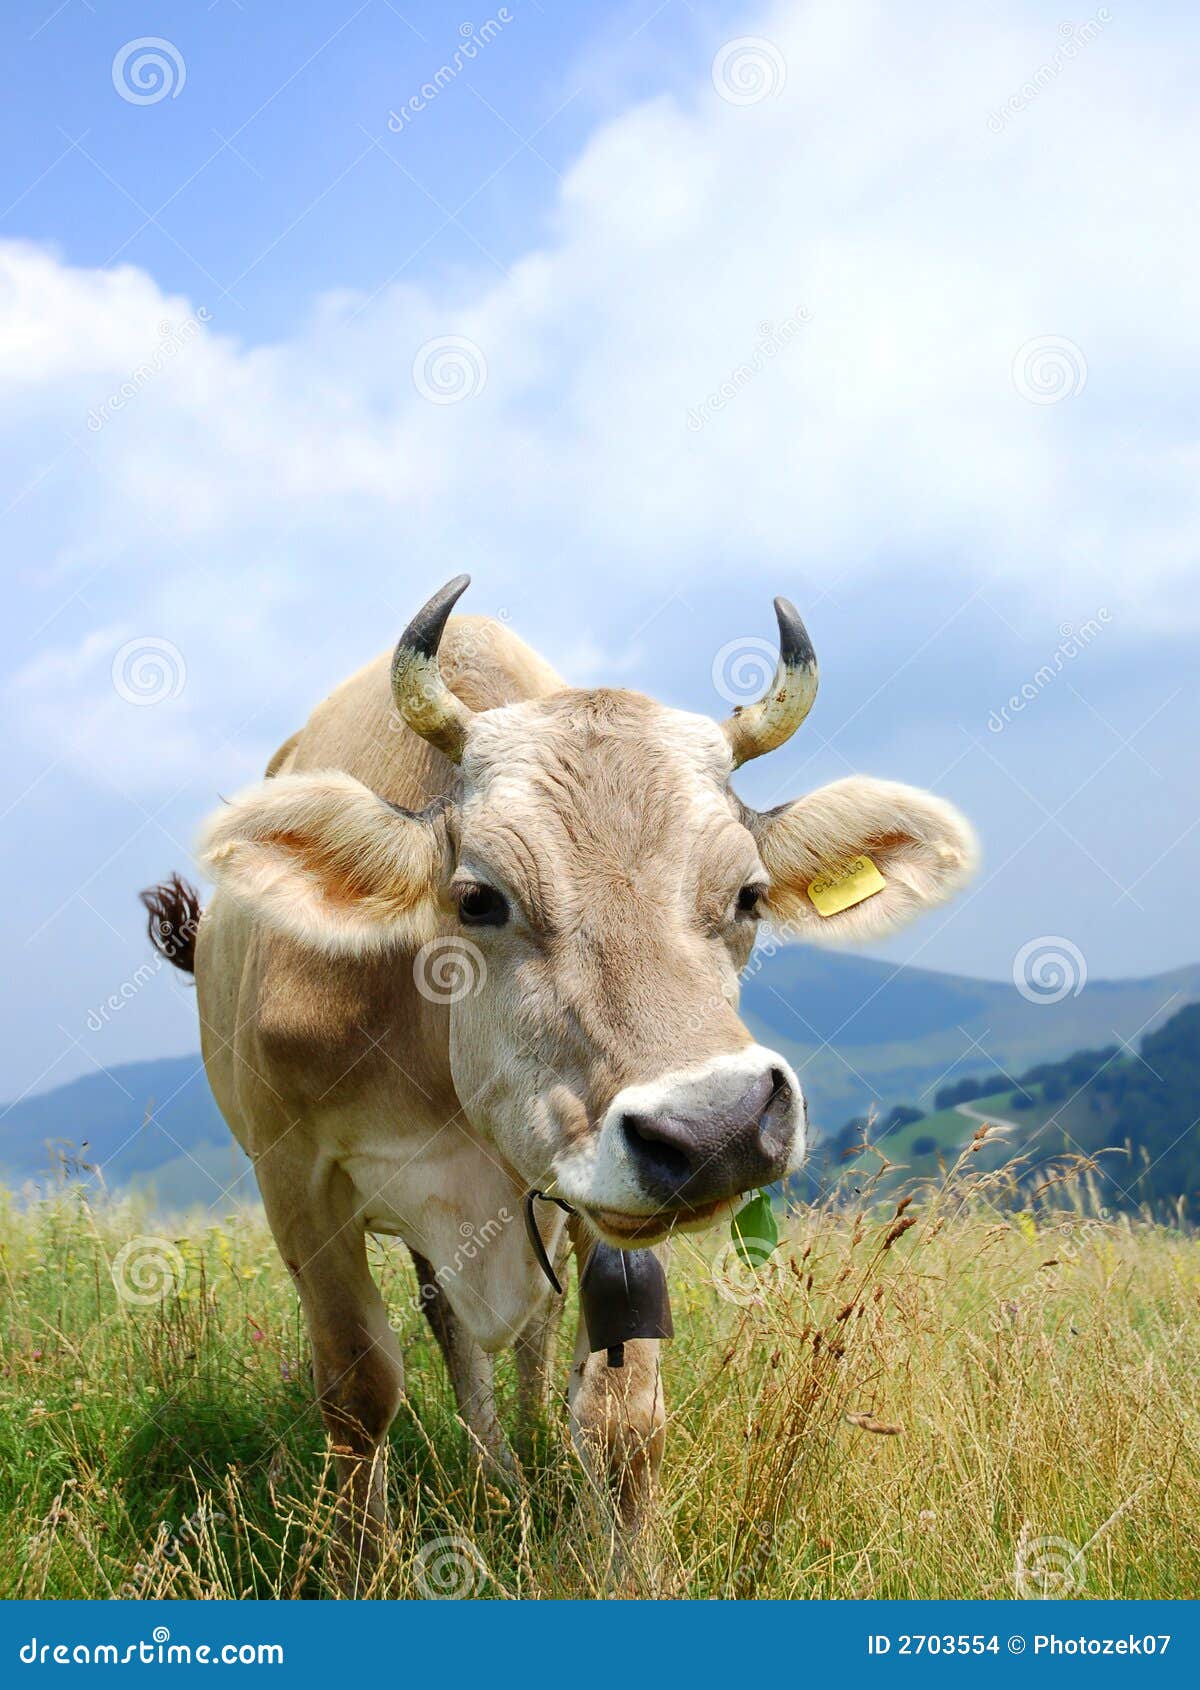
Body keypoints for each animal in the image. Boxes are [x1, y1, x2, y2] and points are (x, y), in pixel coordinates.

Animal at [142, 576, 976, 1574]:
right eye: (477, 898)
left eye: (747, 896)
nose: (721, 1127)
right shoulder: (296, 1181)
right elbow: (358, 1388)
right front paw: (359, 1565)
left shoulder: (606, 1189)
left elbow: (620, 1406)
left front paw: (625, 1567)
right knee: (450, 1328)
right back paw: (496, 1472)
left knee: (520, 1331)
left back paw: (524, 1457)